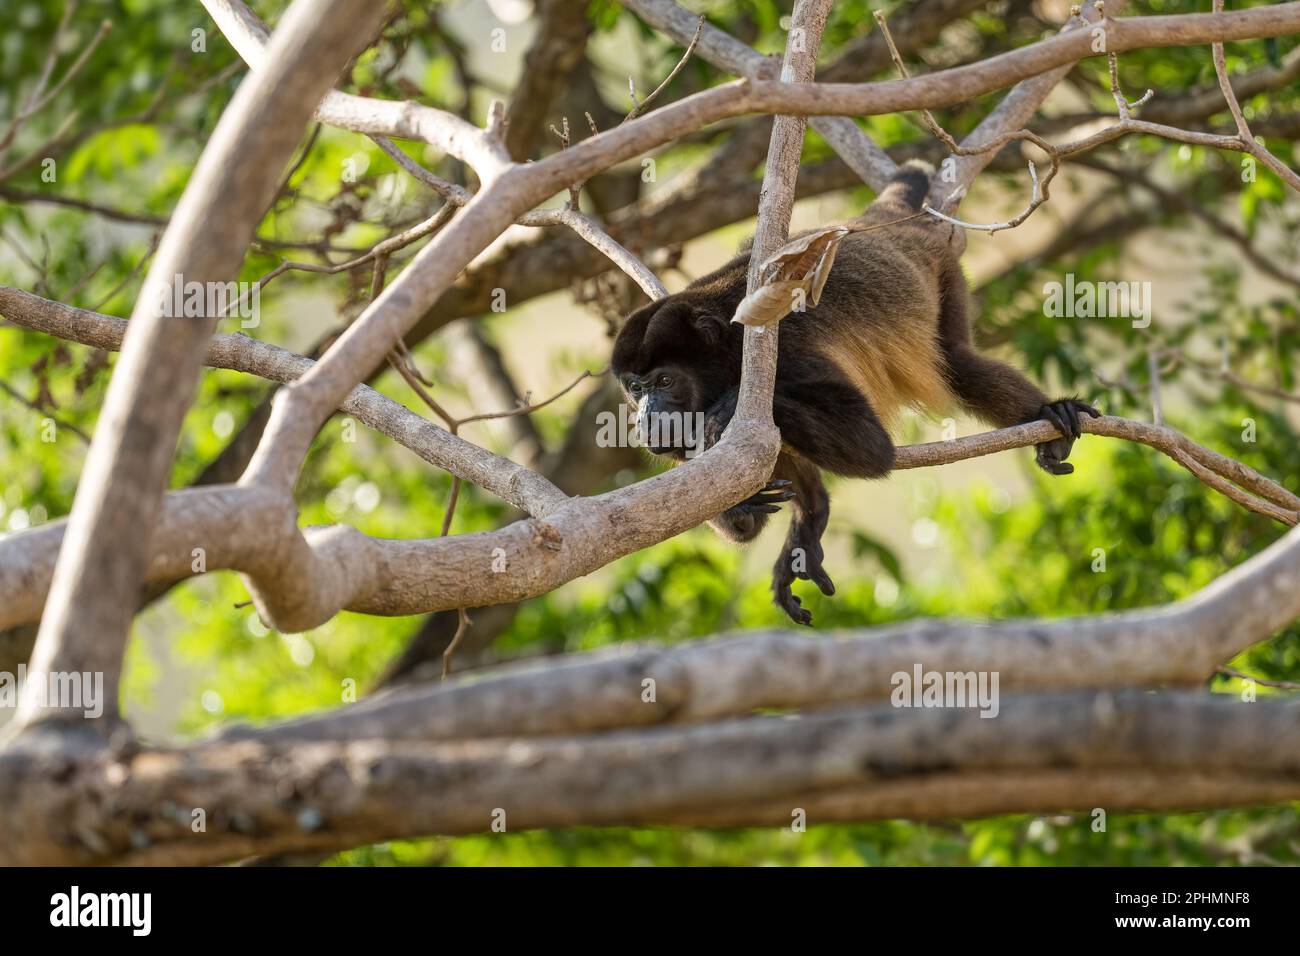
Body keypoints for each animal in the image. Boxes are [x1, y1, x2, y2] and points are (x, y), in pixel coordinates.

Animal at [611, 160, 1098, 625]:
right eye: (635, 388)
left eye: (665, 382)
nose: (646, 417)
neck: (728, 346)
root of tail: (876, 223)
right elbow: (741, 508)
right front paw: (743, 507)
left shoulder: (787, 352)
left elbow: (871, 447)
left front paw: (726, 409)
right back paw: (812, 516)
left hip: (939, 268)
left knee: (959, 364)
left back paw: (1050, 413)